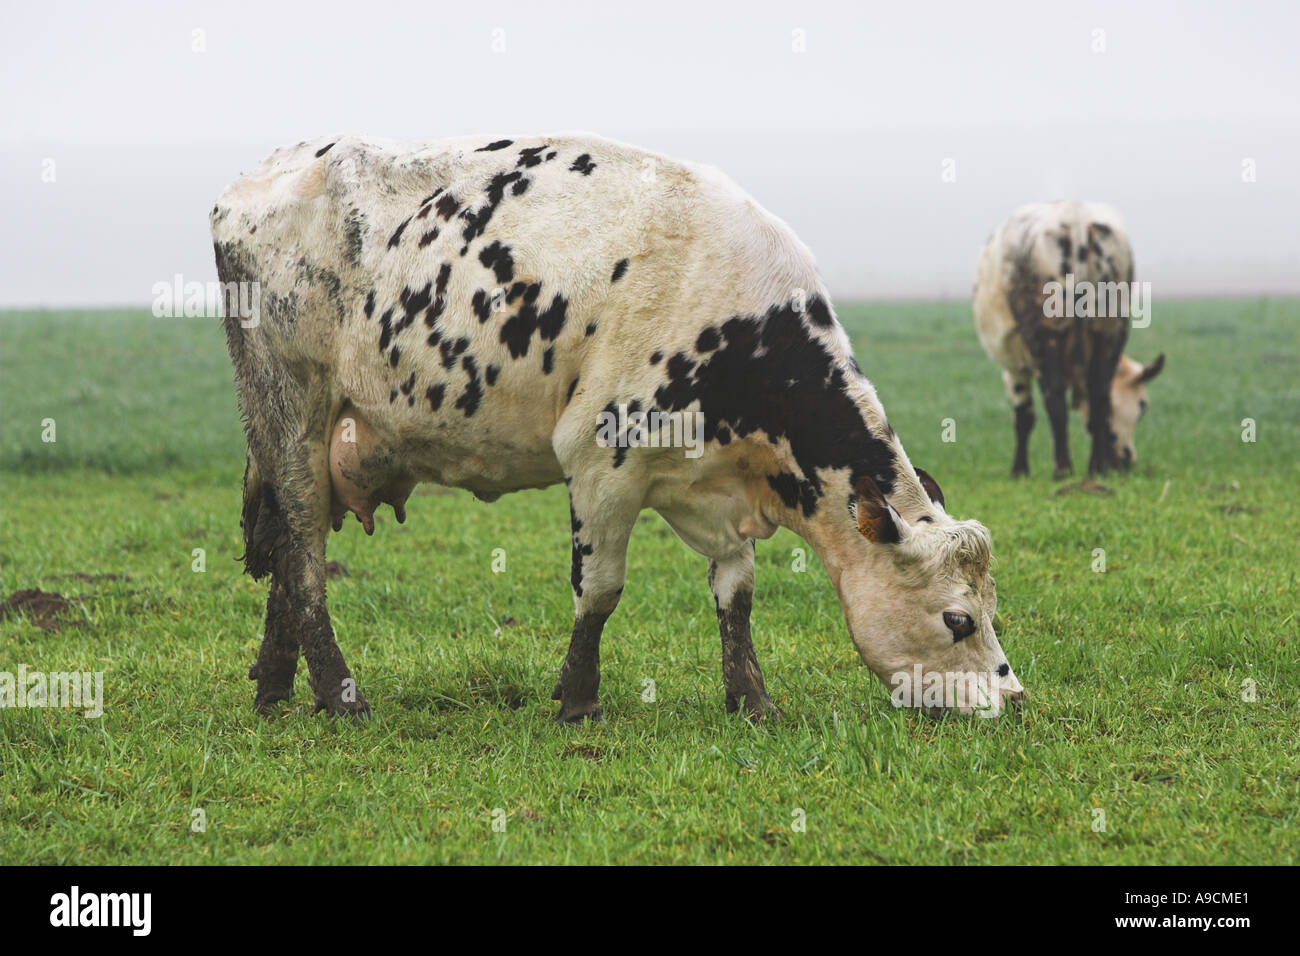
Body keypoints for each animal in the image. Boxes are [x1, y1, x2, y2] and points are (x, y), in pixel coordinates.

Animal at [211, 133, 1024, 723]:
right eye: (957, 619)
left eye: (993, 610)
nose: (1015, 700)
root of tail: (257, 179)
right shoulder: (602, 462)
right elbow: (600, 590)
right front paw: (577, 699)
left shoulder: (706, 486)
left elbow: (736, 593)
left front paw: (752, 698)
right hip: (291, 409)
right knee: (305, 554)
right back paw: (338, 694)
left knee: (287, 553)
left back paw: (275, 688)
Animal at [973, 201, 1165, 479]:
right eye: (1143, 407)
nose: (1127, 459)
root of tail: (1076, 219)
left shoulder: (1014, 365)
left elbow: (1024, 416)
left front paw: (1019, 470)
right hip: (1111, 329)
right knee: (1099, 396)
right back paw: (1096, 468)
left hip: (1046, 333)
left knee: (1055, 401)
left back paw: (1062, 468)